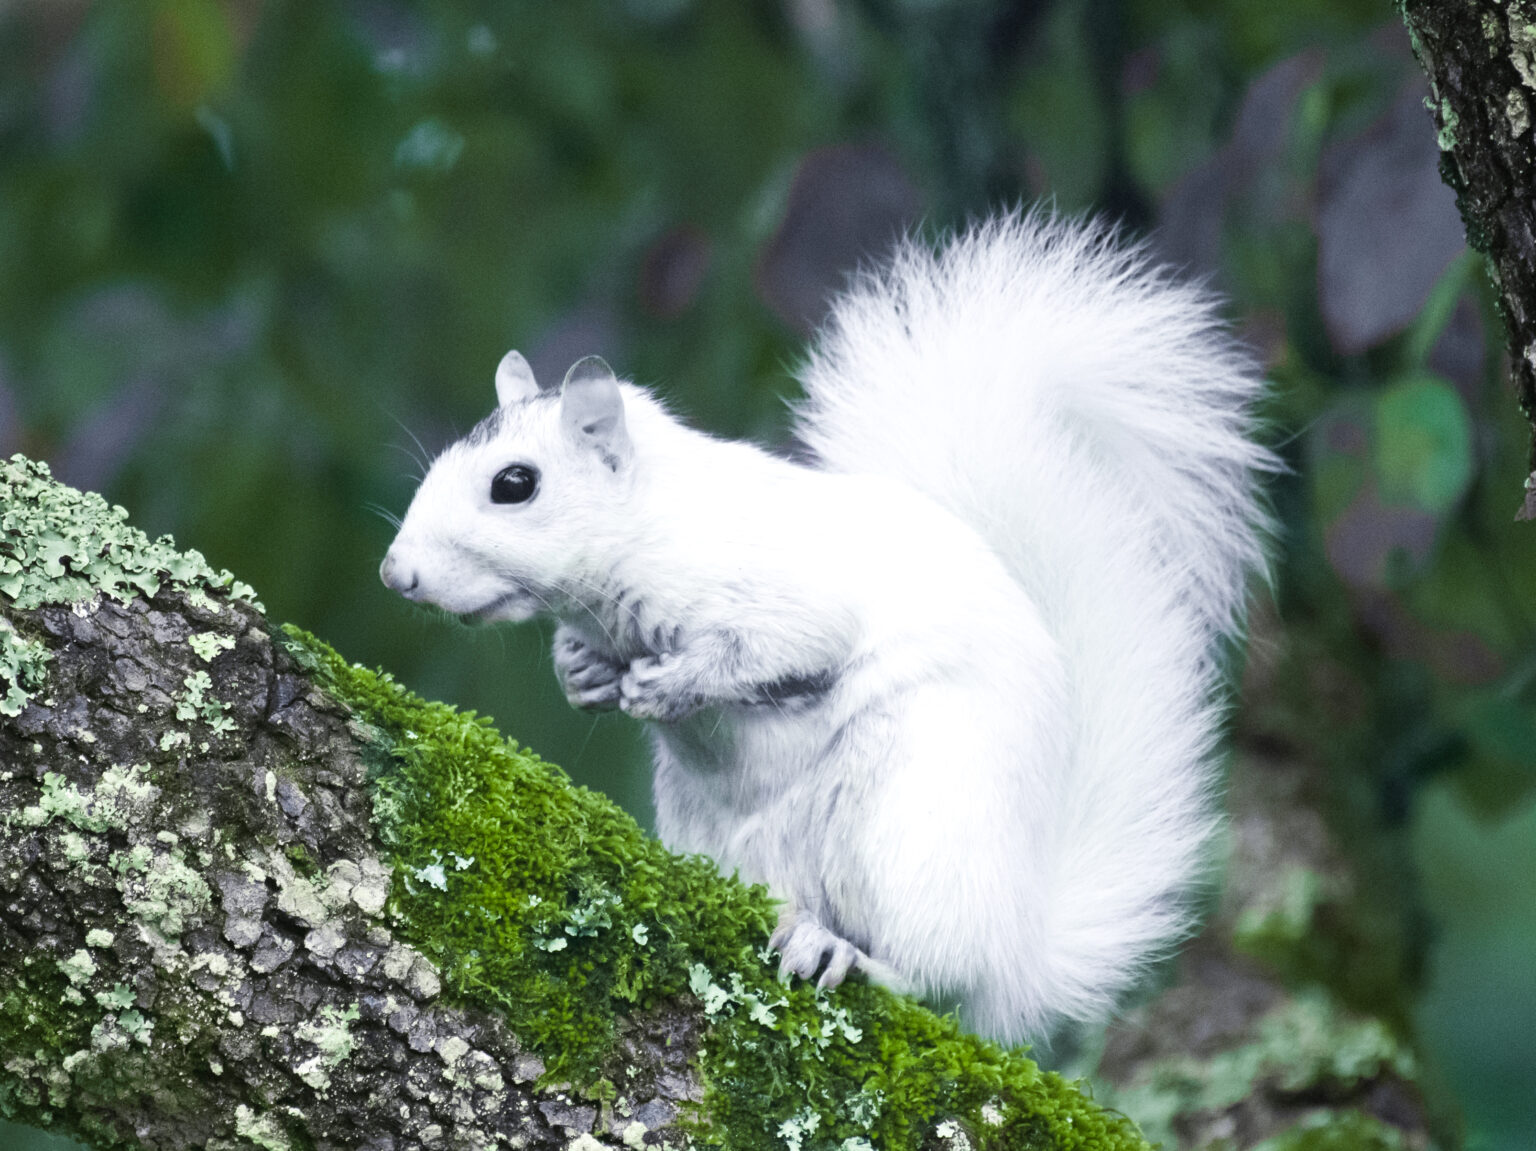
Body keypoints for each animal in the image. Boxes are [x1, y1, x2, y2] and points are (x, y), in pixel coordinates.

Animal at [380, 211, 1276, 1045]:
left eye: (515, 484)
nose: (397, 575)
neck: (653, 522)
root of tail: (1018, 943)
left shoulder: (782, 591)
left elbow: (784, 651)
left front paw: (675, 683)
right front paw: (582, 672)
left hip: (913, 830)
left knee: (935, 977)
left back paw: (852, 956)